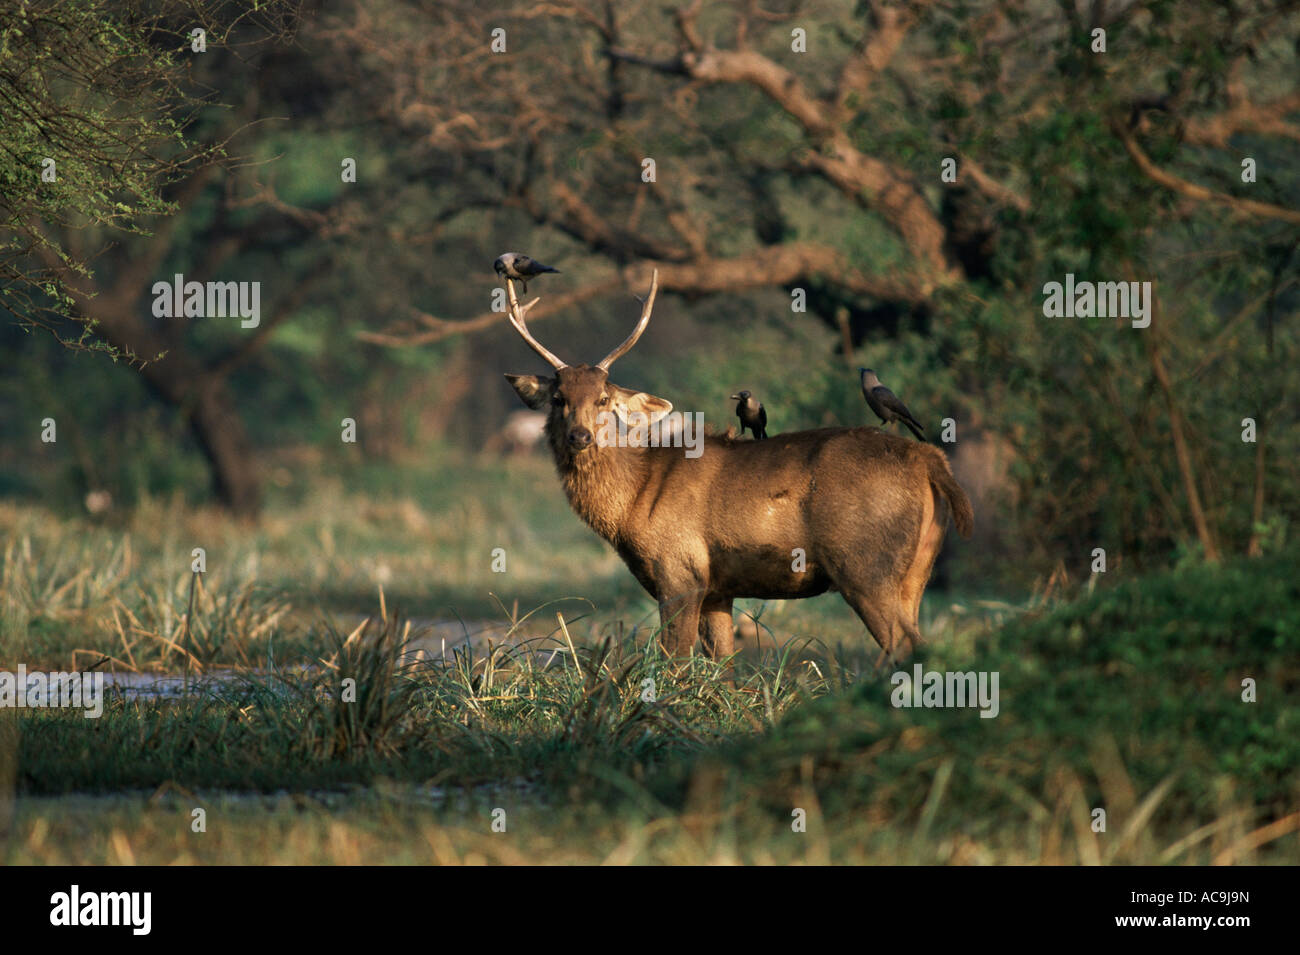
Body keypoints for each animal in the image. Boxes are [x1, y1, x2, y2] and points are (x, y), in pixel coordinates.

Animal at [503, 270, 973, 663]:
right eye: (558, 398)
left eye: (603, 398)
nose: (580, 437)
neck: (633, 502)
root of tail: (930, 461)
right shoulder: (717, 589)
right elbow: (721, 666)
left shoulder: (679, 570)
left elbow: (675, 663)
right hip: (918, 567)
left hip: (864, 563)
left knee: (903, 643)